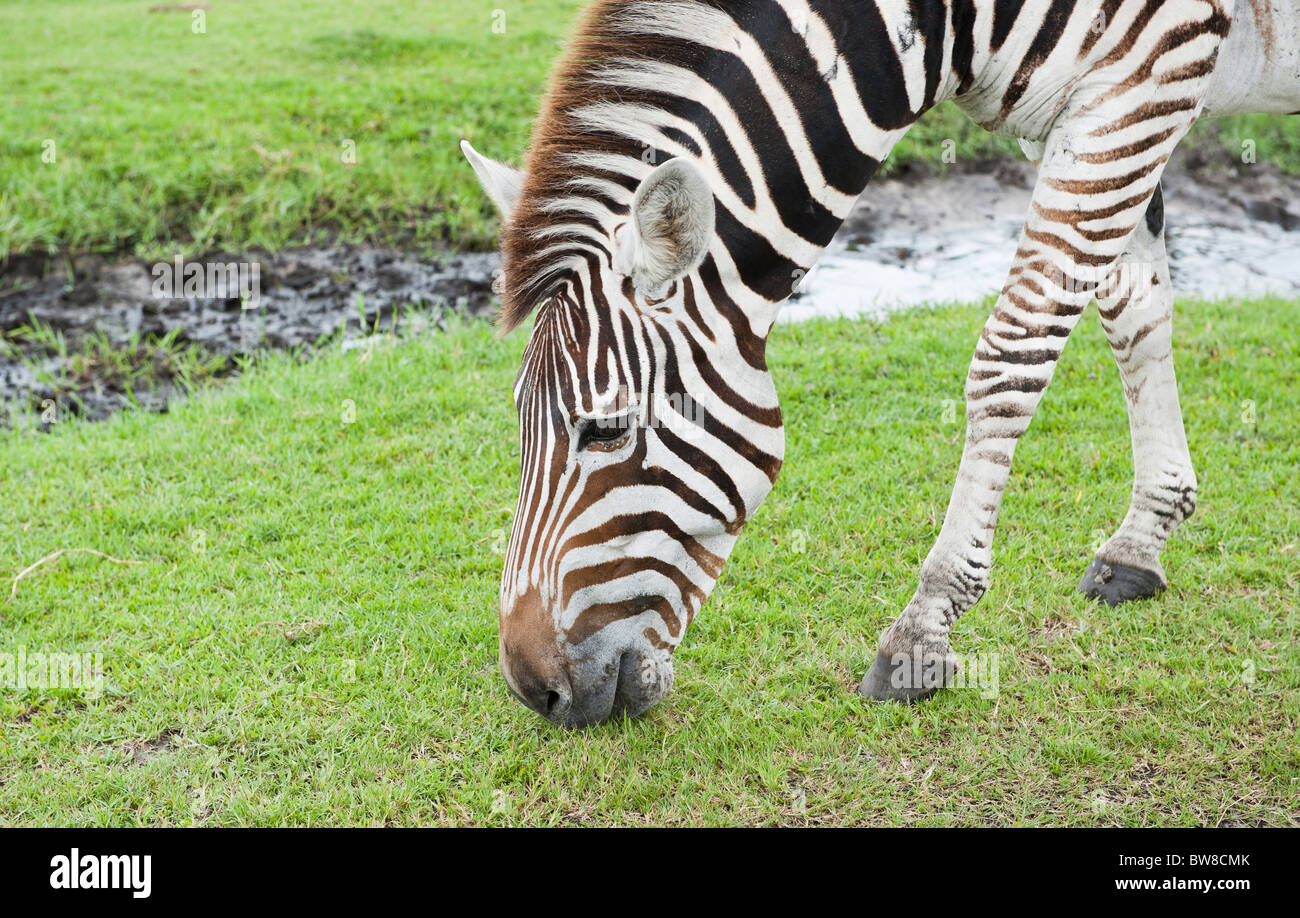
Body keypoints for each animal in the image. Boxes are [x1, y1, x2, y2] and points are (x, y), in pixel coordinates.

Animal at [461, 0, 1300, 725]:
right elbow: (1133, 313)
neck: (954, 24)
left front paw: (922, 632)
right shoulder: (1096, 111)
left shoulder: (1141, 82)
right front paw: (1142, 539)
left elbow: (1012, 351)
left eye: (605, 429)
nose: (533, 691)